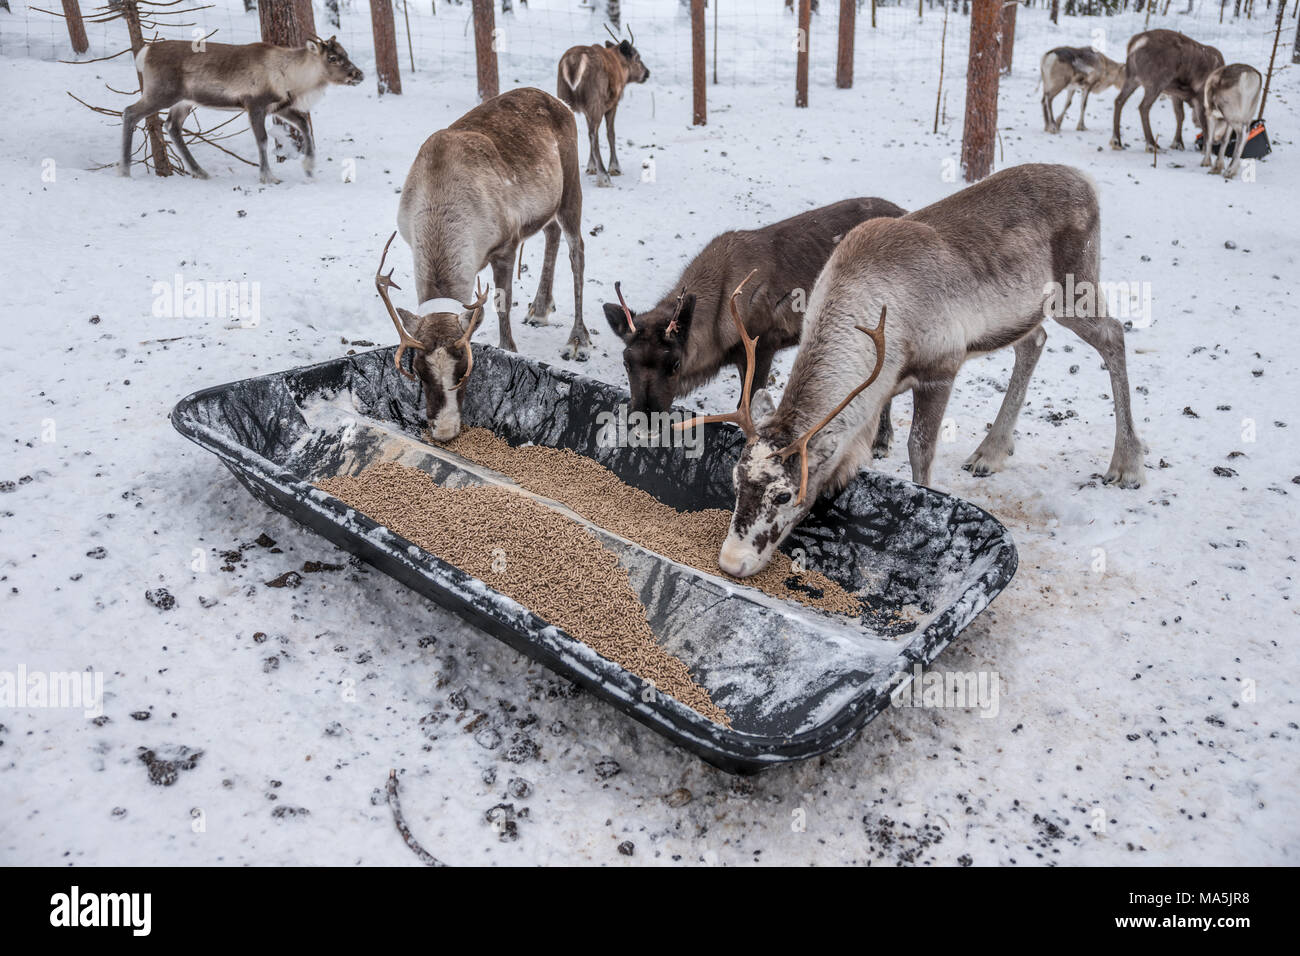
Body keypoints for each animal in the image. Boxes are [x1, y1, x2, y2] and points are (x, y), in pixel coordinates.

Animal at [120, 36, 363, 184]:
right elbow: (262, 140)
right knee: (130, 112)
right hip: (161, 93)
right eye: (332, 58)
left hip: (184, 101)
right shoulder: (255, 105)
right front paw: (268, 177)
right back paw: (125, 170)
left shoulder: (278, 107)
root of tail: (145, 52)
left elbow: (305, 125)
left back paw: (200, 171)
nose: (358, 74)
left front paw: (309, 168)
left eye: (346, 53)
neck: (293, 78)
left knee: (172, 126)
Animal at [396, 87, 591, 362]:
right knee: (552, 231)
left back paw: (577, 340)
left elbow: (502, 305)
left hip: (571, 186)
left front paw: (509, 349)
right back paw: (540, 309)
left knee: (577, 252)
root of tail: (561, 102)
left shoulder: (506, 245)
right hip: (547, 202)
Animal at [556, 26, 650, 188]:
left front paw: (591, 167)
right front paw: (614, 168)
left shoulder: (587, 110)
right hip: (596, 100)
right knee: (594, 135)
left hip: (563, 96)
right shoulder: (613, 104)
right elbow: (610, 133)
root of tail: (573, 62)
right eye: (637, 57)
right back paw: (604, 176)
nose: (647, 73)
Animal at [605, 197, 906, 455]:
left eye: (675, 363)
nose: (645, 424)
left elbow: (745, 404)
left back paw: (882, 440)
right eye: (626, 362)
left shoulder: (764, 345)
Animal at [677, 164, 1145, 580]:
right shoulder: (880, 388)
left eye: (784, 493)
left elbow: (920, 449)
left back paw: (1126, 463)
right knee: (1035, 342)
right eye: (736, 480)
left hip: (1076, 287)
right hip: (1025, 313)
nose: (732, 562)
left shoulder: (942, 366)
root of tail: (1086, 179)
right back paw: (990, 451)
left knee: (1113, 334)